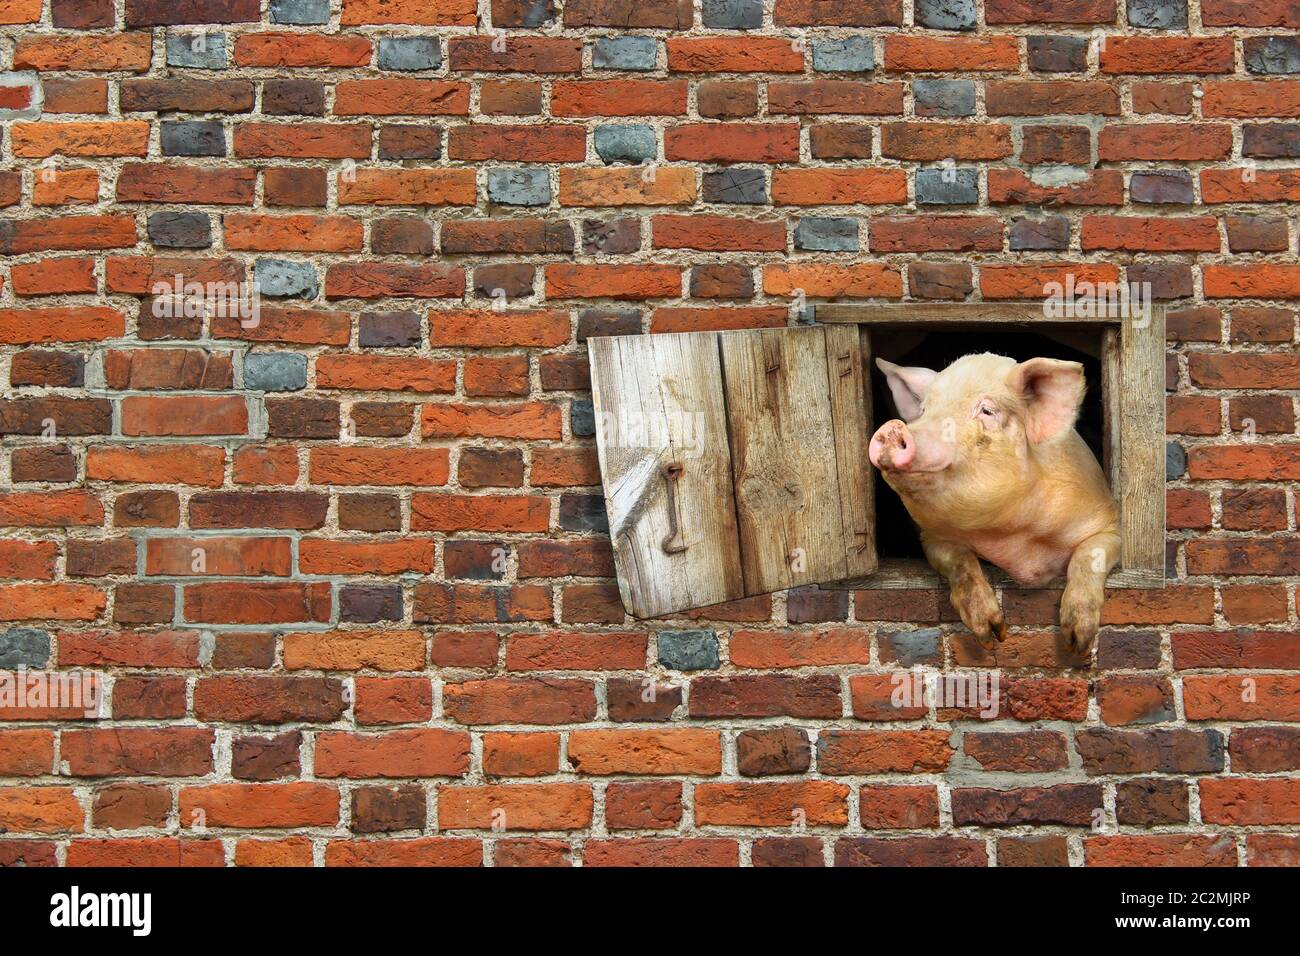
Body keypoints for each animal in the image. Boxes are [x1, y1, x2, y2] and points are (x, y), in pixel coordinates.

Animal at [868, 353, 1119, 652]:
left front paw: (1077, 643)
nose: (893, 429)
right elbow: (958, 560)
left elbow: (1090, 554)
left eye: (987, 411)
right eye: (925, 409)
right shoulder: (932, 537)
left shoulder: (1108, 522)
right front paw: (992, 636)